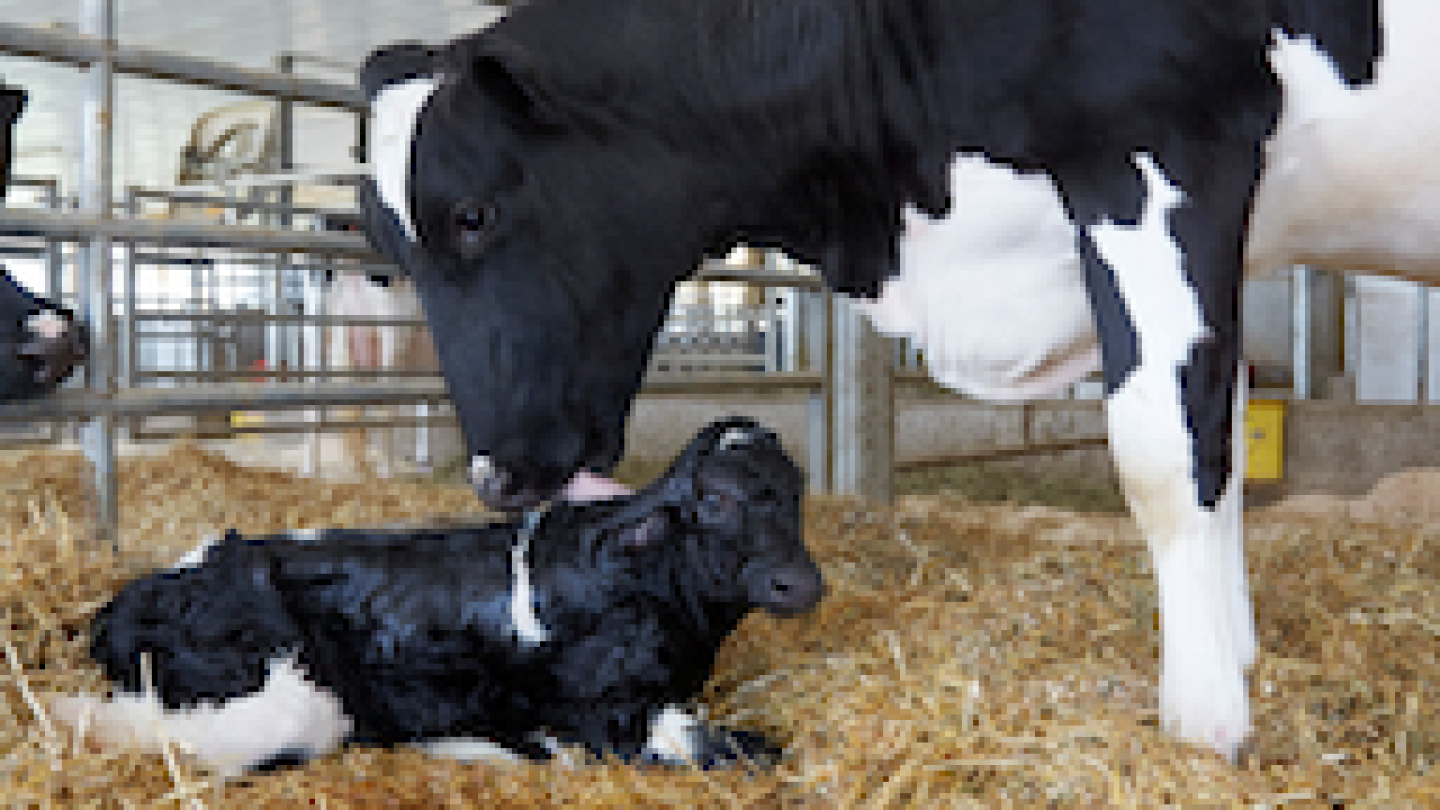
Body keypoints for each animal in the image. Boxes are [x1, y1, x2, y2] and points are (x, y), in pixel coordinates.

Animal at [50, 417, 821, 778]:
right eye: (713, 498)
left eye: (796, 492)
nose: (802, 581)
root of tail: (129, 600)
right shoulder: (607, 715)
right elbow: (743, 747)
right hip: (291, 699)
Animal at [355, 0, 1438, 761]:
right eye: (386, 252)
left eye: (474, 213)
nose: (496, 476)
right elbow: (1219, 438)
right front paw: (1238, 656)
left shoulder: (1162, 153)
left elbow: (1167, 455)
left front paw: (1207, 718)